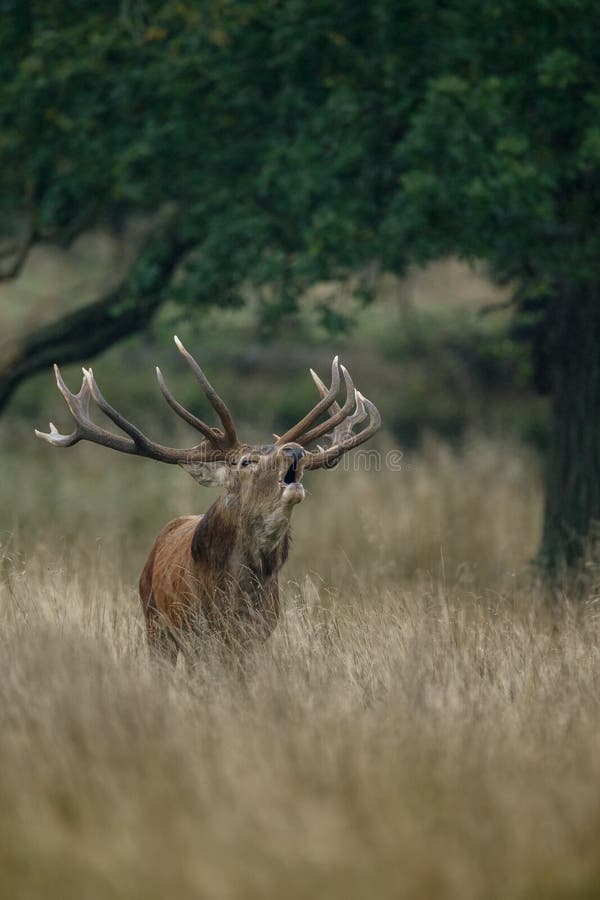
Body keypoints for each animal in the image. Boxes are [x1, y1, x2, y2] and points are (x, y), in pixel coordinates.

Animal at [35, 337, 381, 659]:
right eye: (246, 462)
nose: (295, 450)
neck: (242, 589)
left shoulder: (257, 633)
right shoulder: (201, 632)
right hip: (154, 621)